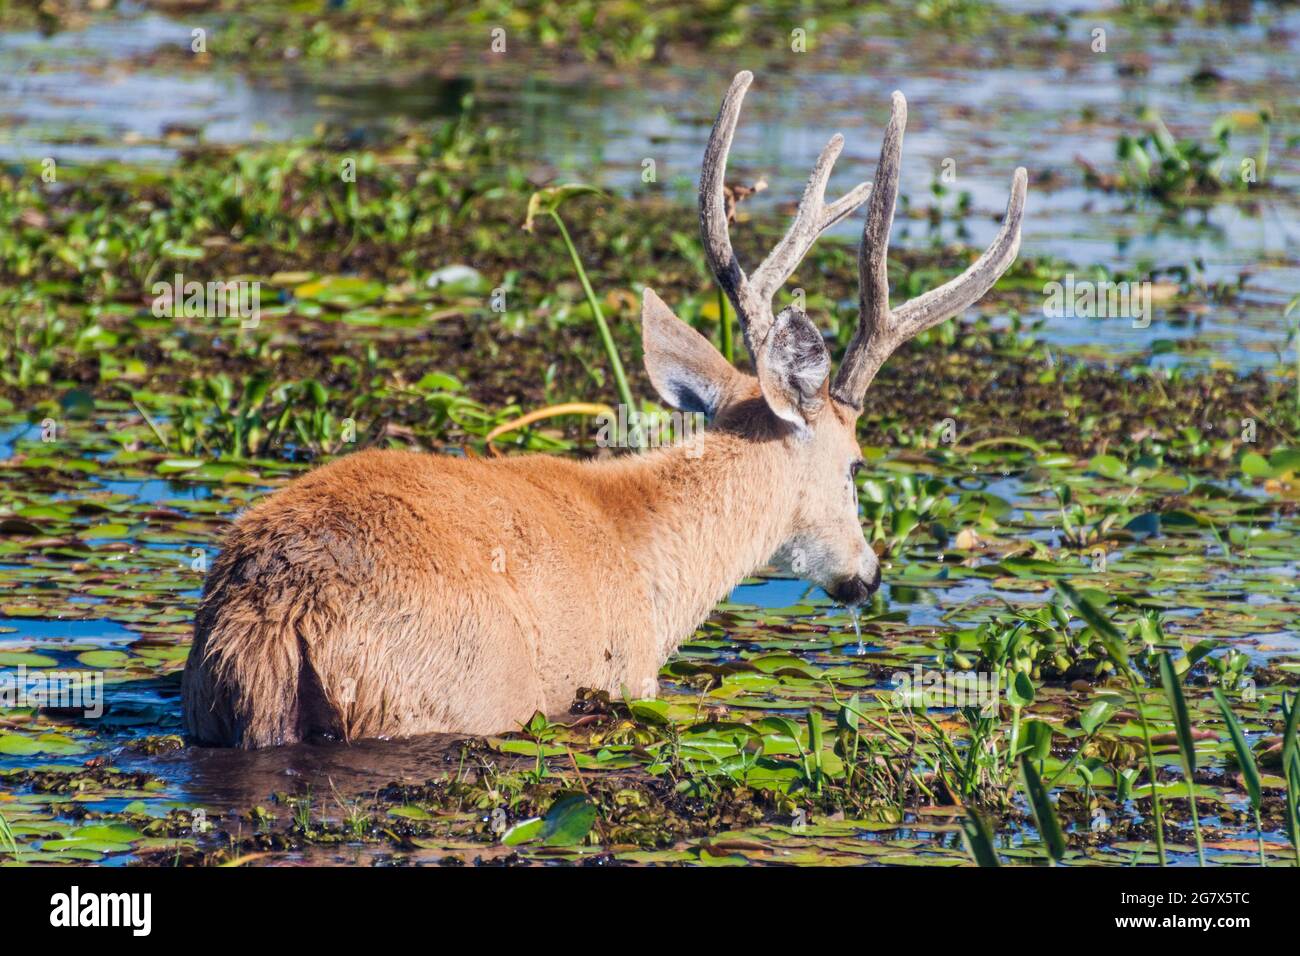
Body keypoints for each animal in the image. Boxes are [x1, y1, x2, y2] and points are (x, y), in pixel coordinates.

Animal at [182, 71, 1027, 748]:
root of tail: (273, 612)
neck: (648, 557)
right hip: (441, 697)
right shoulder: (631, 677)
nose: (868, 574)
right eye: (855, 464)